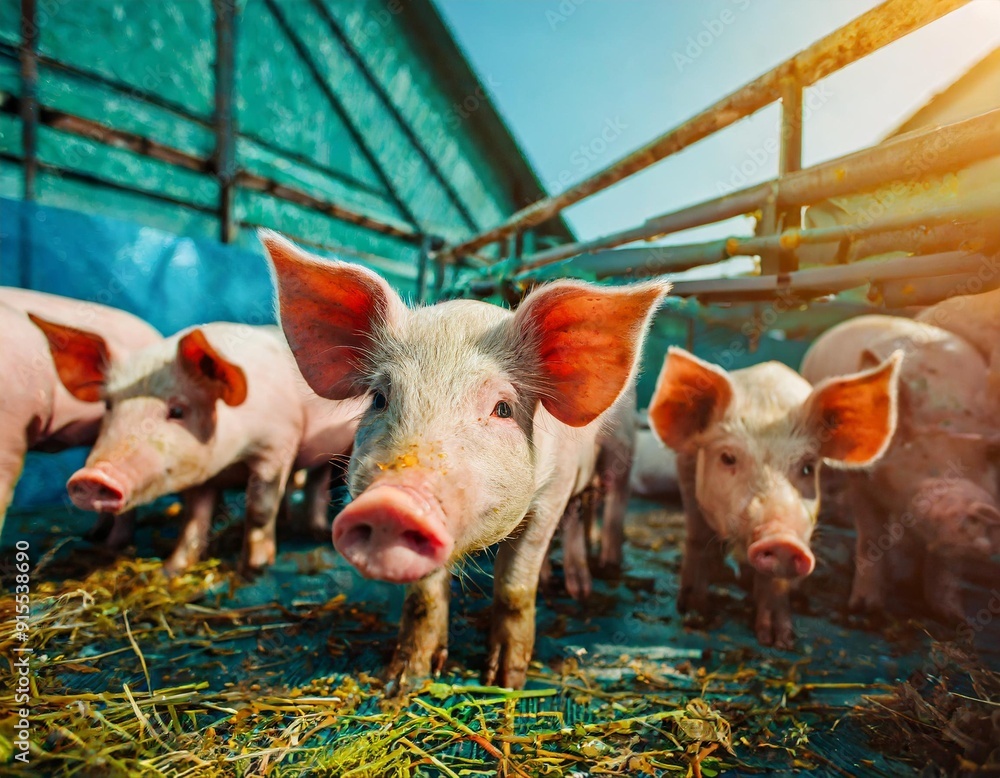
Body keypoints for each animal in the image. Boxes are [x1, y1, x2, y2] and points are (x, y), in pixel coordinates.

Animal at [31, 317, 365, 574]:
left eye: (178, 411)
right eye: (109, 406)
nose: (92, 477)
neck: (231, 461)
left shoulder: (278, 444)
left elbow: (259, 509)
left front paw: (254, 569)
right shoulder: (204, 477)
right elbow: (193, 519)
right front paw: (171, 570)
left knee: (316, 482)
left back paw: (314, 531)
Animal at [262, 231, 667, 689]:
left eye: (503, 409)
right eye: (380, 398)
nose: (392, 503)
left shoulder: (554, 490)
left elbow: (514, 584)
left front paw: (504, 682)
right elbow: (423, 597)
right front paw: (406, 680)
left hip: (621, 454)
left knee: (606, 506)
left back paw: (600, 575)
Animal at [648, 346, 901, 649]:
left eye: (808, 467)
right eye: (727, 458)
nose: (782, 539)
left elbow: (775, 581)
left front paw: (778, 641)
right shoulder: (686, 472)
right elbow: (697, 538)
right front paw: (693, 612)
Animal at [801, 315, 1000, 623]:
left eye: (985, 457)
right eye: (920, 455)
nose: (981, 507)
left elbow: (945, 564)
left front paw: (955, 619)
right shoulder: (862, 482)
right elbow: (870, 538)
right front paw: (865, 609)